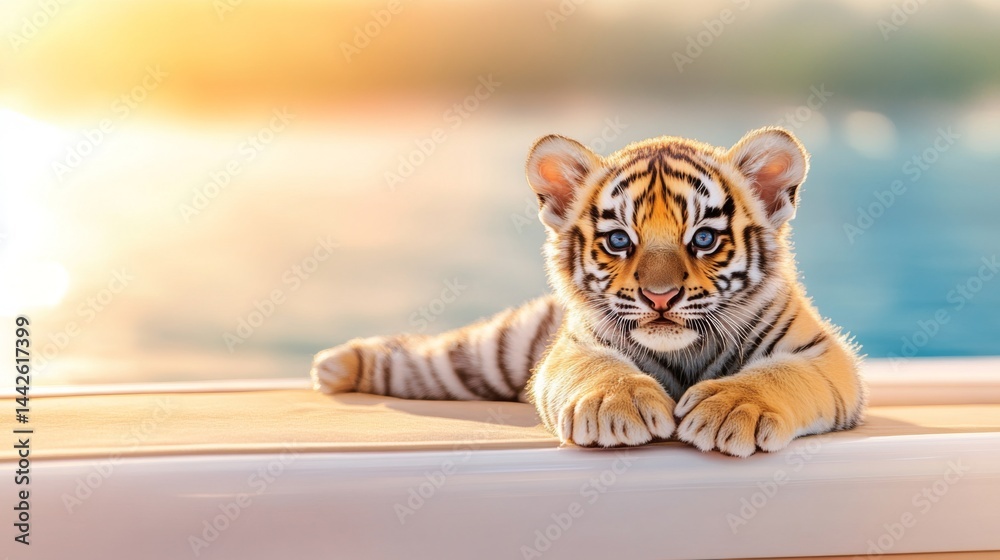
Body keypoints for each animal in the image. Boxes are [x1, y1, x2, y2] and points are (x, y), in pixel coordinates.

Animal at [310, 126, 866, 457]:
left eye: (704, 239)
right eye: (619, 240)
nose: (660, 297)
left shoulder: (822, 354)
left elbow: (777, 375)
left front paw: (729, 409)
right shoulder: (574, 346)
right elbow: (596, 368)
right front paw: (616, 405)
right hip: (488, 352)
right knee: (424, 358)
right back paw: (334, 365)